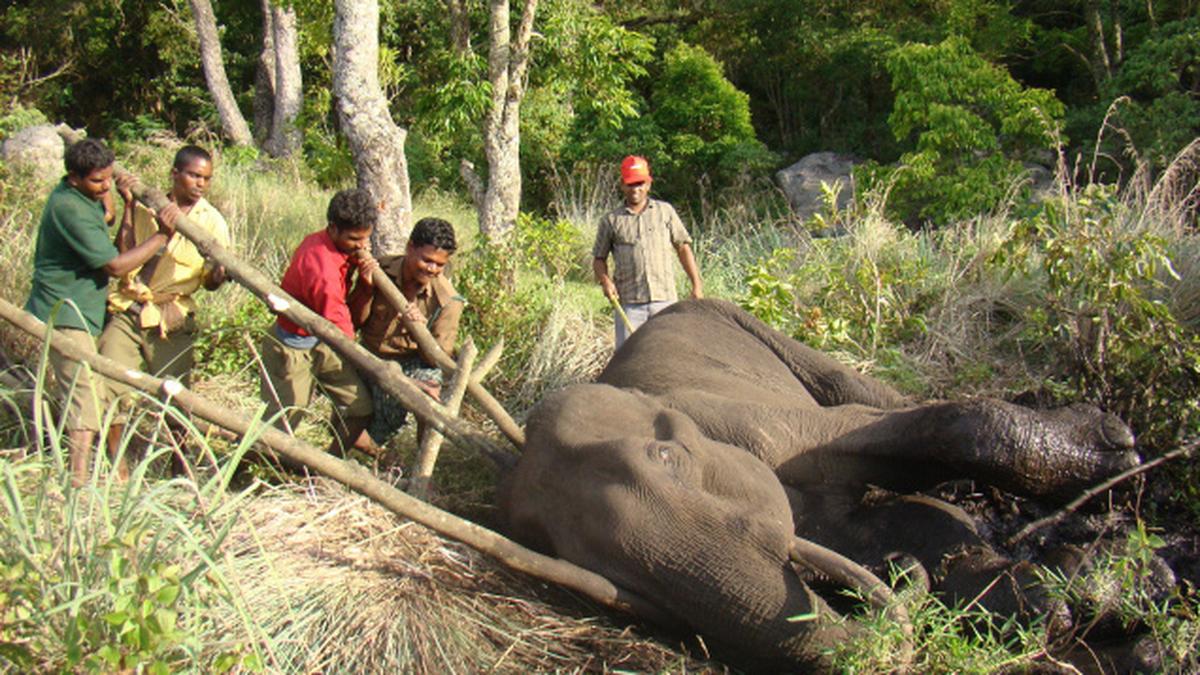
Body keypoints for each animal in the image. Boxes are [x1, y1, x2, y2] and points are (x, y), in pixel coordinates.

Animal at [500, 298, 1141, 671]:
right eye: (604, 577)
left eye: (667, 457)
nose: (898, 574)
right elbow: (891, 526)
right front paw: (1034, 604)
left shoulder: (751, 423)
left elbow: (884, 433)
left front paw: (1113, 446)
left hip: (750, 326)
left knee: (862, 390)